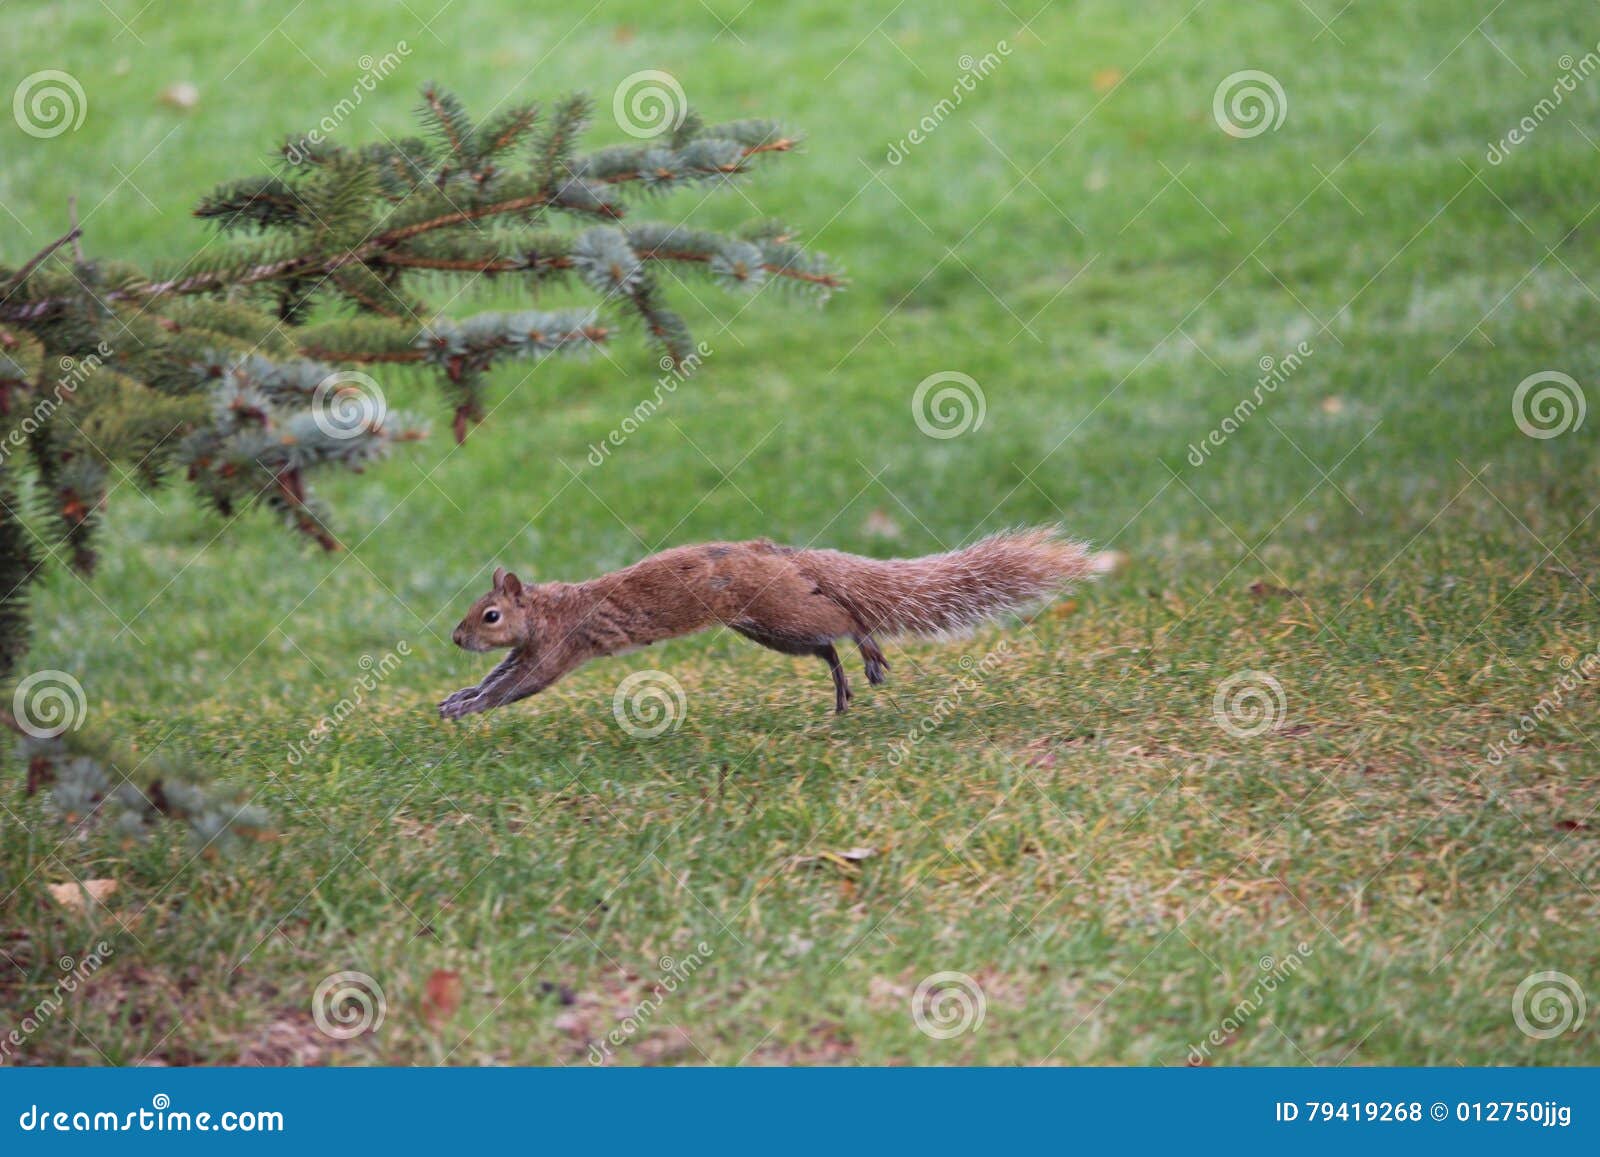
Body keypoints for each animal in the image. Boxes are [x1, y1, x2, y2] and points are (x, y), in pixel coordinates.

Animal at [439, 526, 1118, 720]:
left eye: (490, 614)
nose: (456, 637)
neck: (545, 610)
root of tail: (783, 555)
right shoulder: (528, 650)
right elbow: (499, 676)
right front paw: (459, 695)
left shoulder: (557, 649)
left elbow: (516, 688)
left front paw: (468, 709)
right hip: (769, 628)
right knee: (825, 644)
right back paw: (843, 685)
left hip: (780, 609)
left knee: (843, 616)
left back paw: (867, 652)